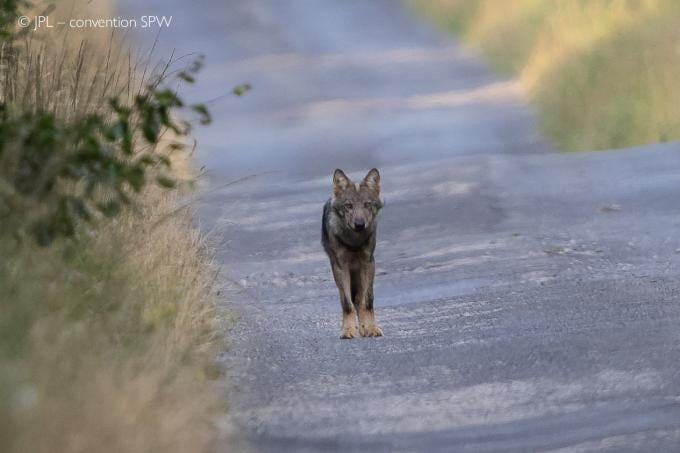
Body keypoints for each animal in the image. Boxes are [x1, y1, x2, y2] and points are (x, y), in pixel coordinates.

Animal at [321, 168, 384, 339]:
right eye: (348, 205)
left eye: (366, 204)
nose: (359, 224)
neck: (354, 242)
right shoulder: (340, 268)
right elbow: (347, 304)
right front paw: (348, 330)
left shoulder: (368, 263)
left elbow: (367, 301)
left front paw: (371, 328)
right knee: (352, 300)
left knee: (359, 300)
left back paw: (364, 328)